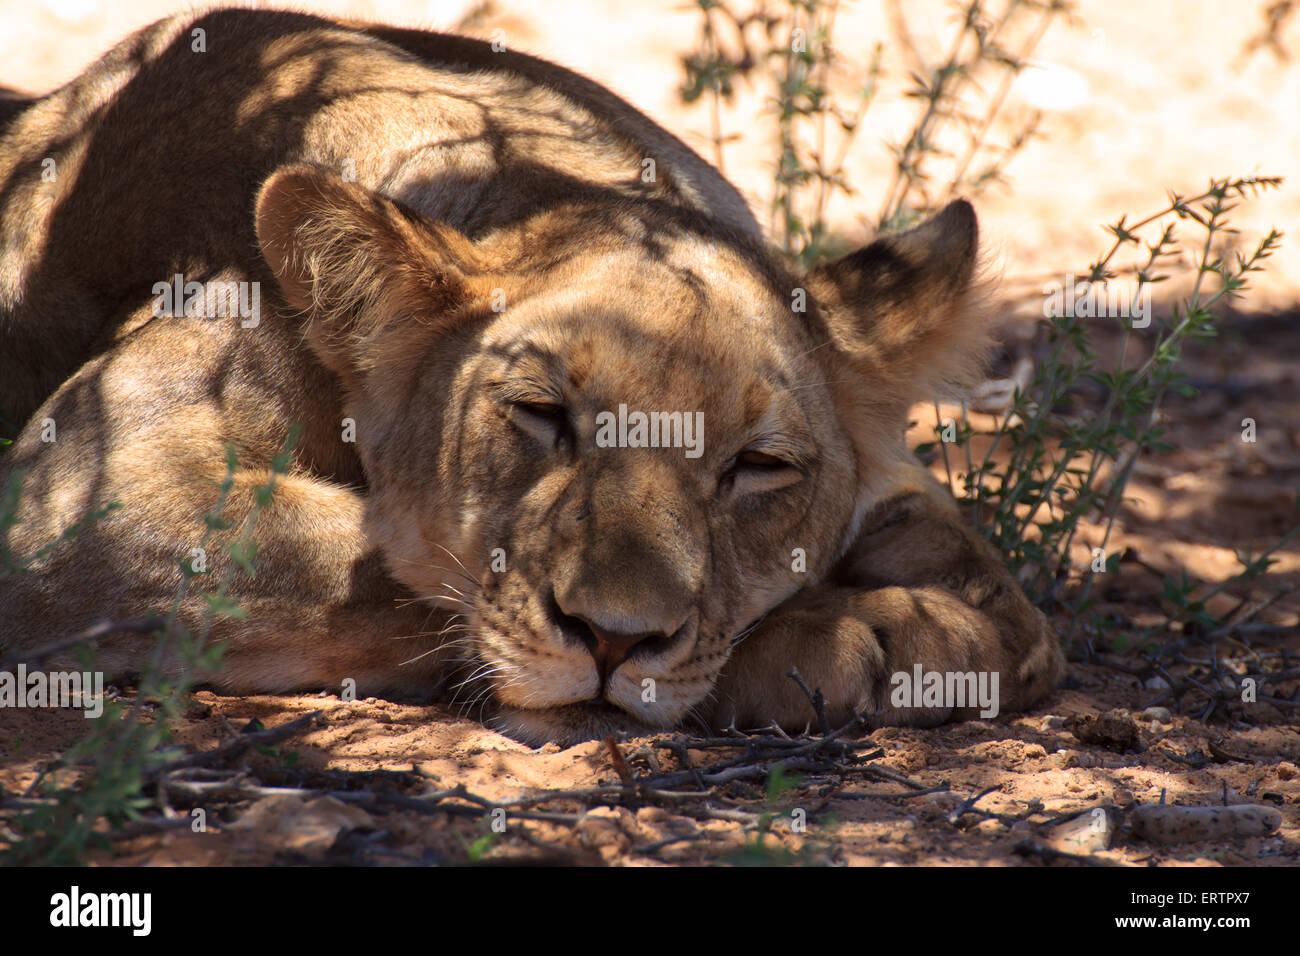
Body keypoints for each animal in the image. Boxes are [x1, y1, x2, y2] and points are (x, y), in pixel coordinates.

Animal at [0, 8, 1064, 746]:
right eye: (540, 415)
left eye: (759, 468)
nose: (615, 640)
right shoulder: (92, 496)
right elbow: (397, 579)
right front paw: (850, 640)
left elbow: (970, 553)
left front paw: (961, 620)